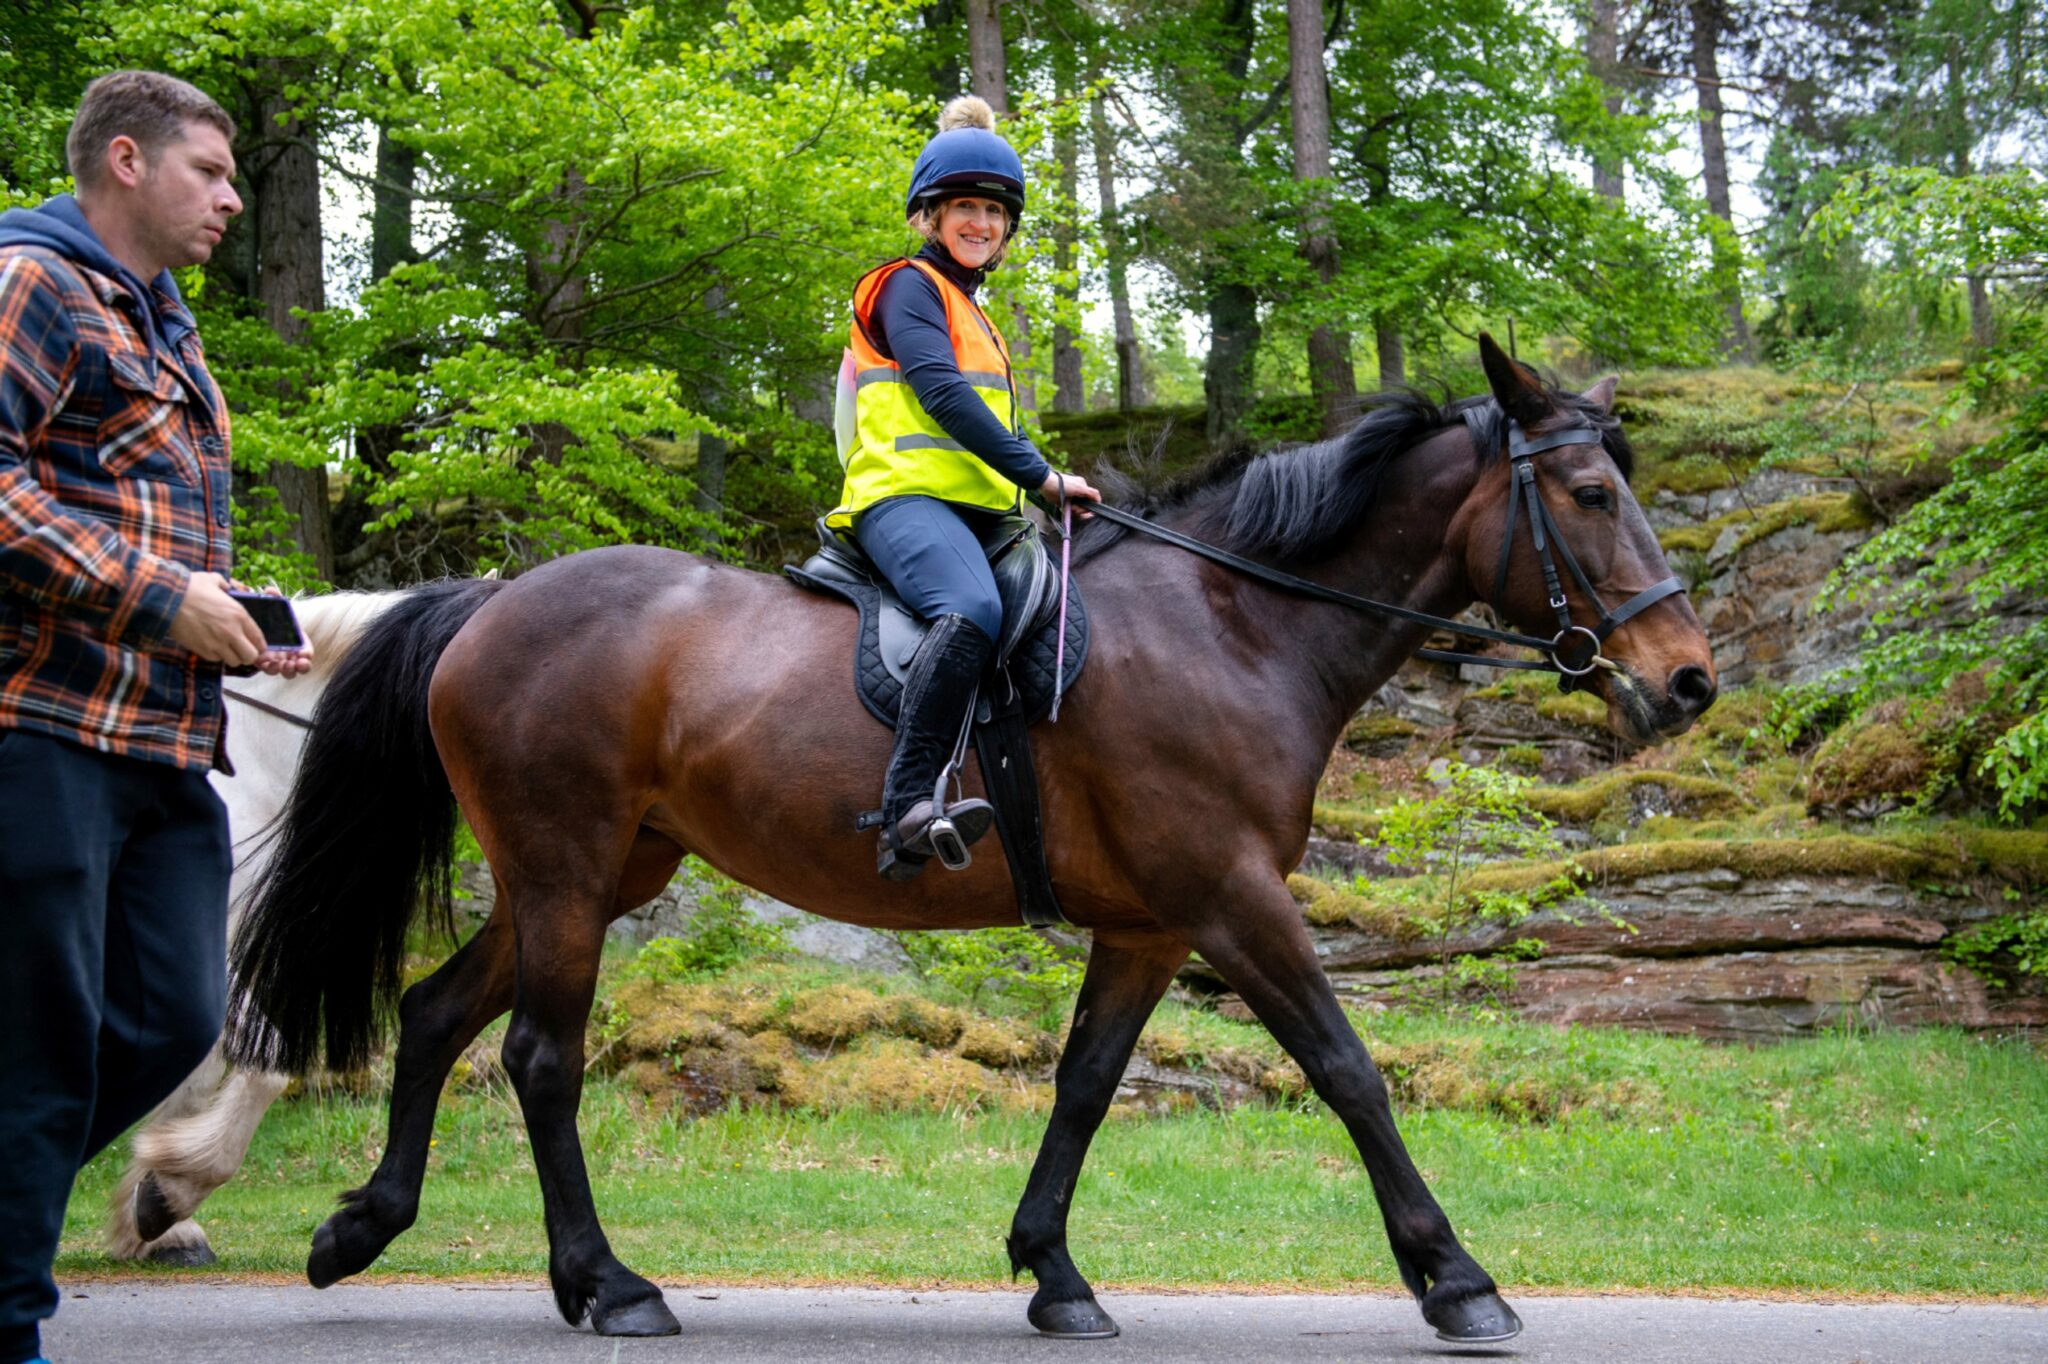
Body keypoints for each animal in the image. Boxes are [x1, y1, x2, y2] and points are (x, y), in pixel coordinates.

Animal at [227, 338, 1717, 1344]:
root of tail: (486, 603)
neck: (1234, 627)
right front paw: (1457, 1278)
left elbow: (1084, 1085)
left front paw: (1051, 1271)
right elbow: (1350, 1071)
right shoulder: (1232, 900)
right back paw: (608, 1283)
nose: (1689, 679)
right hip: (567, 869)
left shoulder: (1149, 925)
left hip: (595, 873)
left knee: (435, 1013)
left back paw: (363, 1228)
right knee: (540, 1057)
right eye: (1590, 493)